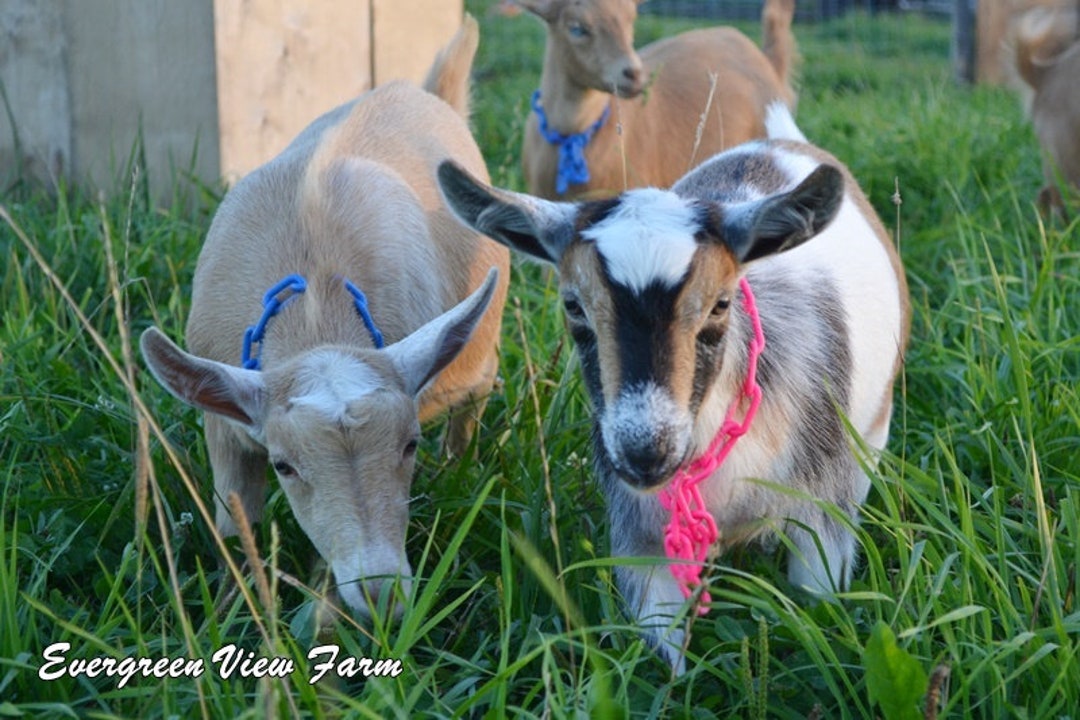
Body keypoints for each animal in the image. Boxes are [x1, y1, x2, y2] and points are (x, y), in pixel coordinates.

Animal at [139, 17, 510, 617]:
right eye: (285, 465)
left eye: (409, 444)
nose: (381, 594)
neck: (316, 309)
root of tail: (426, 92)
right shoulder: (225, 426)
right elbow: (234, 526)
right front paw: (232, 608)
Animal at [437, 101, 910, 670]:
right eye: (573, 305)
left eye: (722, 303)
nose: (646, 451)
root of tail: (782, 140)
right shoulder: (643, 537)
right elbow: (661, 657)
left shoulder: (823, 515)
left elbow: (815, 611)